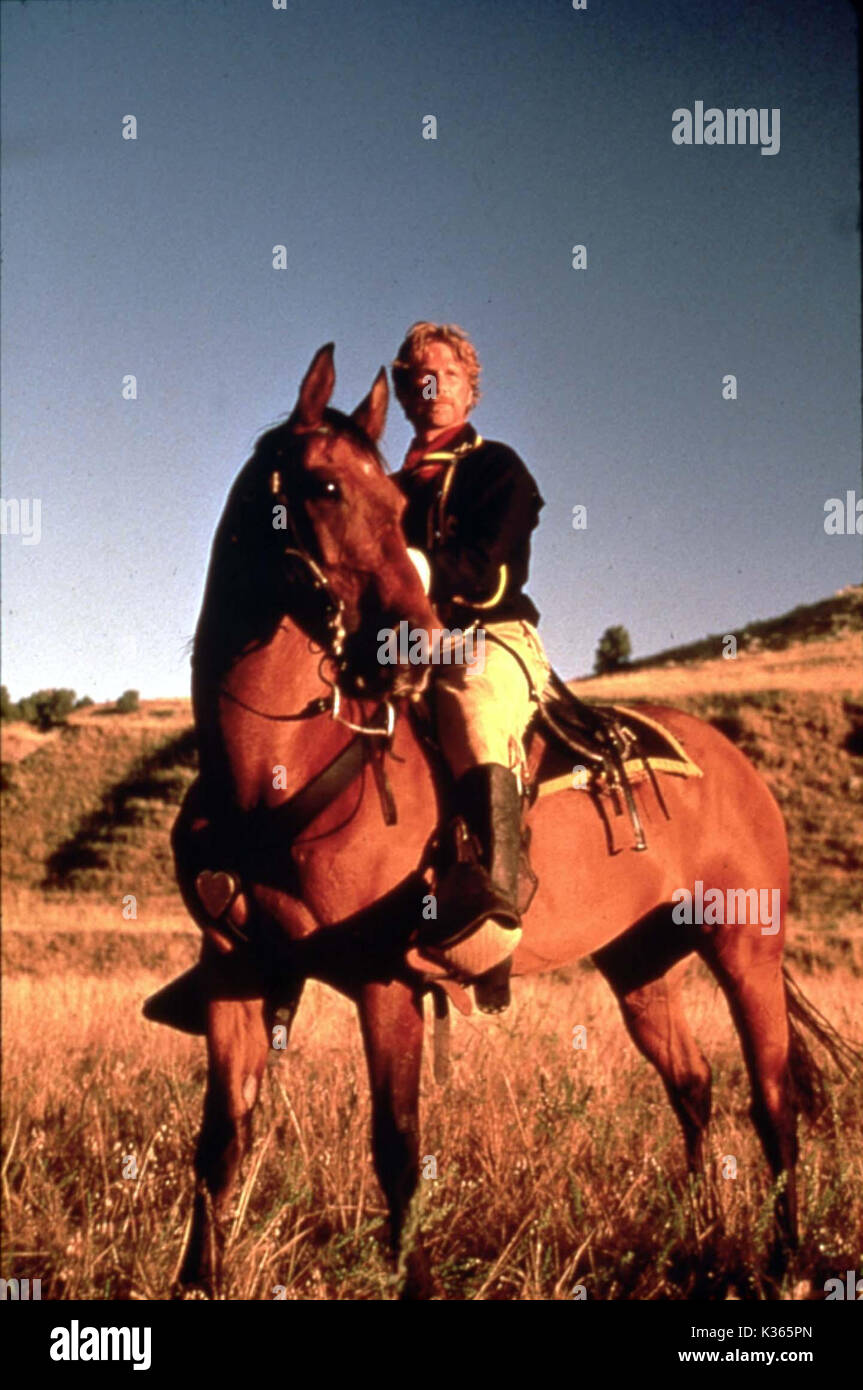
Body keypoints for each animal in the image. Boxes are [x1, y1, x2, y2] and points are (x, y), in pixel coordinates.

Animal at [150, 343, 852, 1300]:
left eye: (397, 509)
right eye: (324, 488)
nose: (406, 645)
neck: (270, 778)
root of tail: (736, 765)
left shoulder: (386, 984)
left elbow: (398, 1154)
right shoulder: (235, 975)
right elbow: (220, 1148)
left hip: (745, 947)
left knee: (771, 1099)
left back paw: (784, 1264)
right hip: (639, 966)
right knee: (693, 1086)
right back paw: (708, 1236)